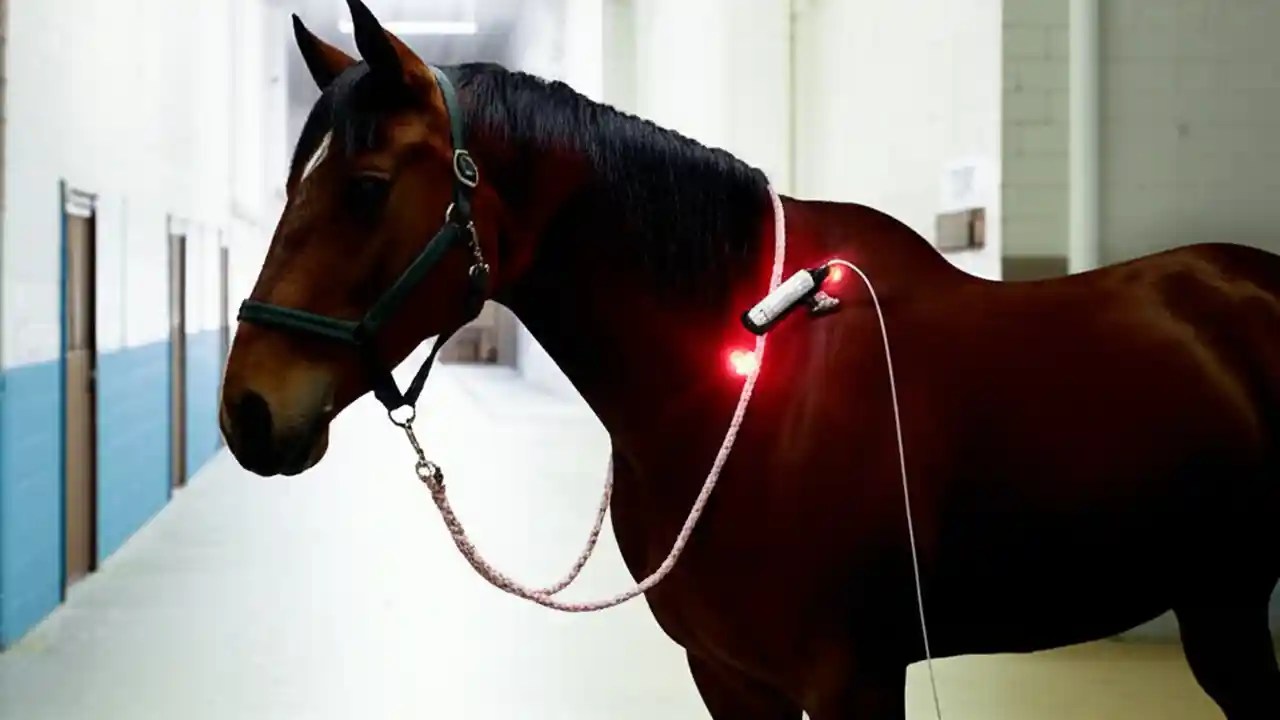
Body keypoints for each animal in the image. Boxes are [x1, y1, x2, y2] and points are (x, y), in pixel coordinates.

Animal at [219, 2, 1280, 717]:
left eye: (365, 187)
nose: (246, 413)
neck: (746, 373)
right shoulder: (729, 674)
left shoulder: (854, 677)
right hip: (1221, 604)